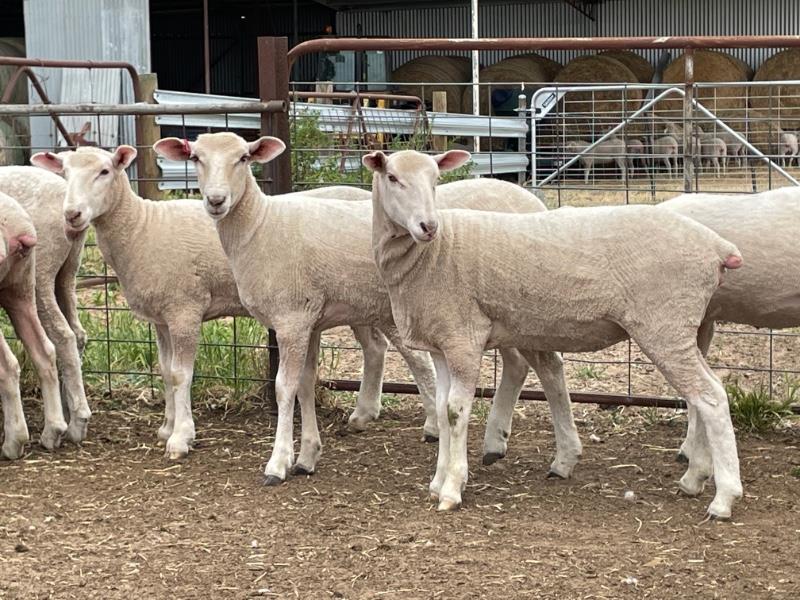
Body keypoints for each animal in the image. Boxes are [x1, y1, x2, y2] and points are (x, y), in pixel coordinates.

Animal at [0, 167, 91, 448]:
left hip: (42, 271)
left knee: (63, 336)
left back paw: (72, 424)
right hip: (67, 271)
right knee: (76, 334)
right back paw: (67, 414)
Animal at [153, 132, 582, 485]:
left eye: (243, 157)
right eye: (195, 158)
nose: (216, 201)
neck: (262, 226)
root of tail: (532, 201)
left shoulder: (291, 317)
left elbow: (283, 388)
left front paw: (277, 463)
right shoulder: (309, 319)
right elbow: (306, 384)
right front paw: (307, 456)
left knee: (545, 366)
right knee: (521, 365)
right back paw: (498, 444)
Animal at [365, 148, 745, 520]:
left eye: (436, 179)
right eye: (392, 177)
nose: (428, 226)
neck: (432, 255)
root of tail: (718, 247)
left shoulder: (463, 338)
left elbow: (456, 412)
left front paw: (452, 489)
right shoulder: (441, 343)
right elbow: (443, 414)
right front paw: (437, 481)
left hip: (664, 324)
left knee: (711, 397)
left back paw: (723, 498)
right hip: (684, 328)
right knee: (705, 394)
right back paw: (694, 478)